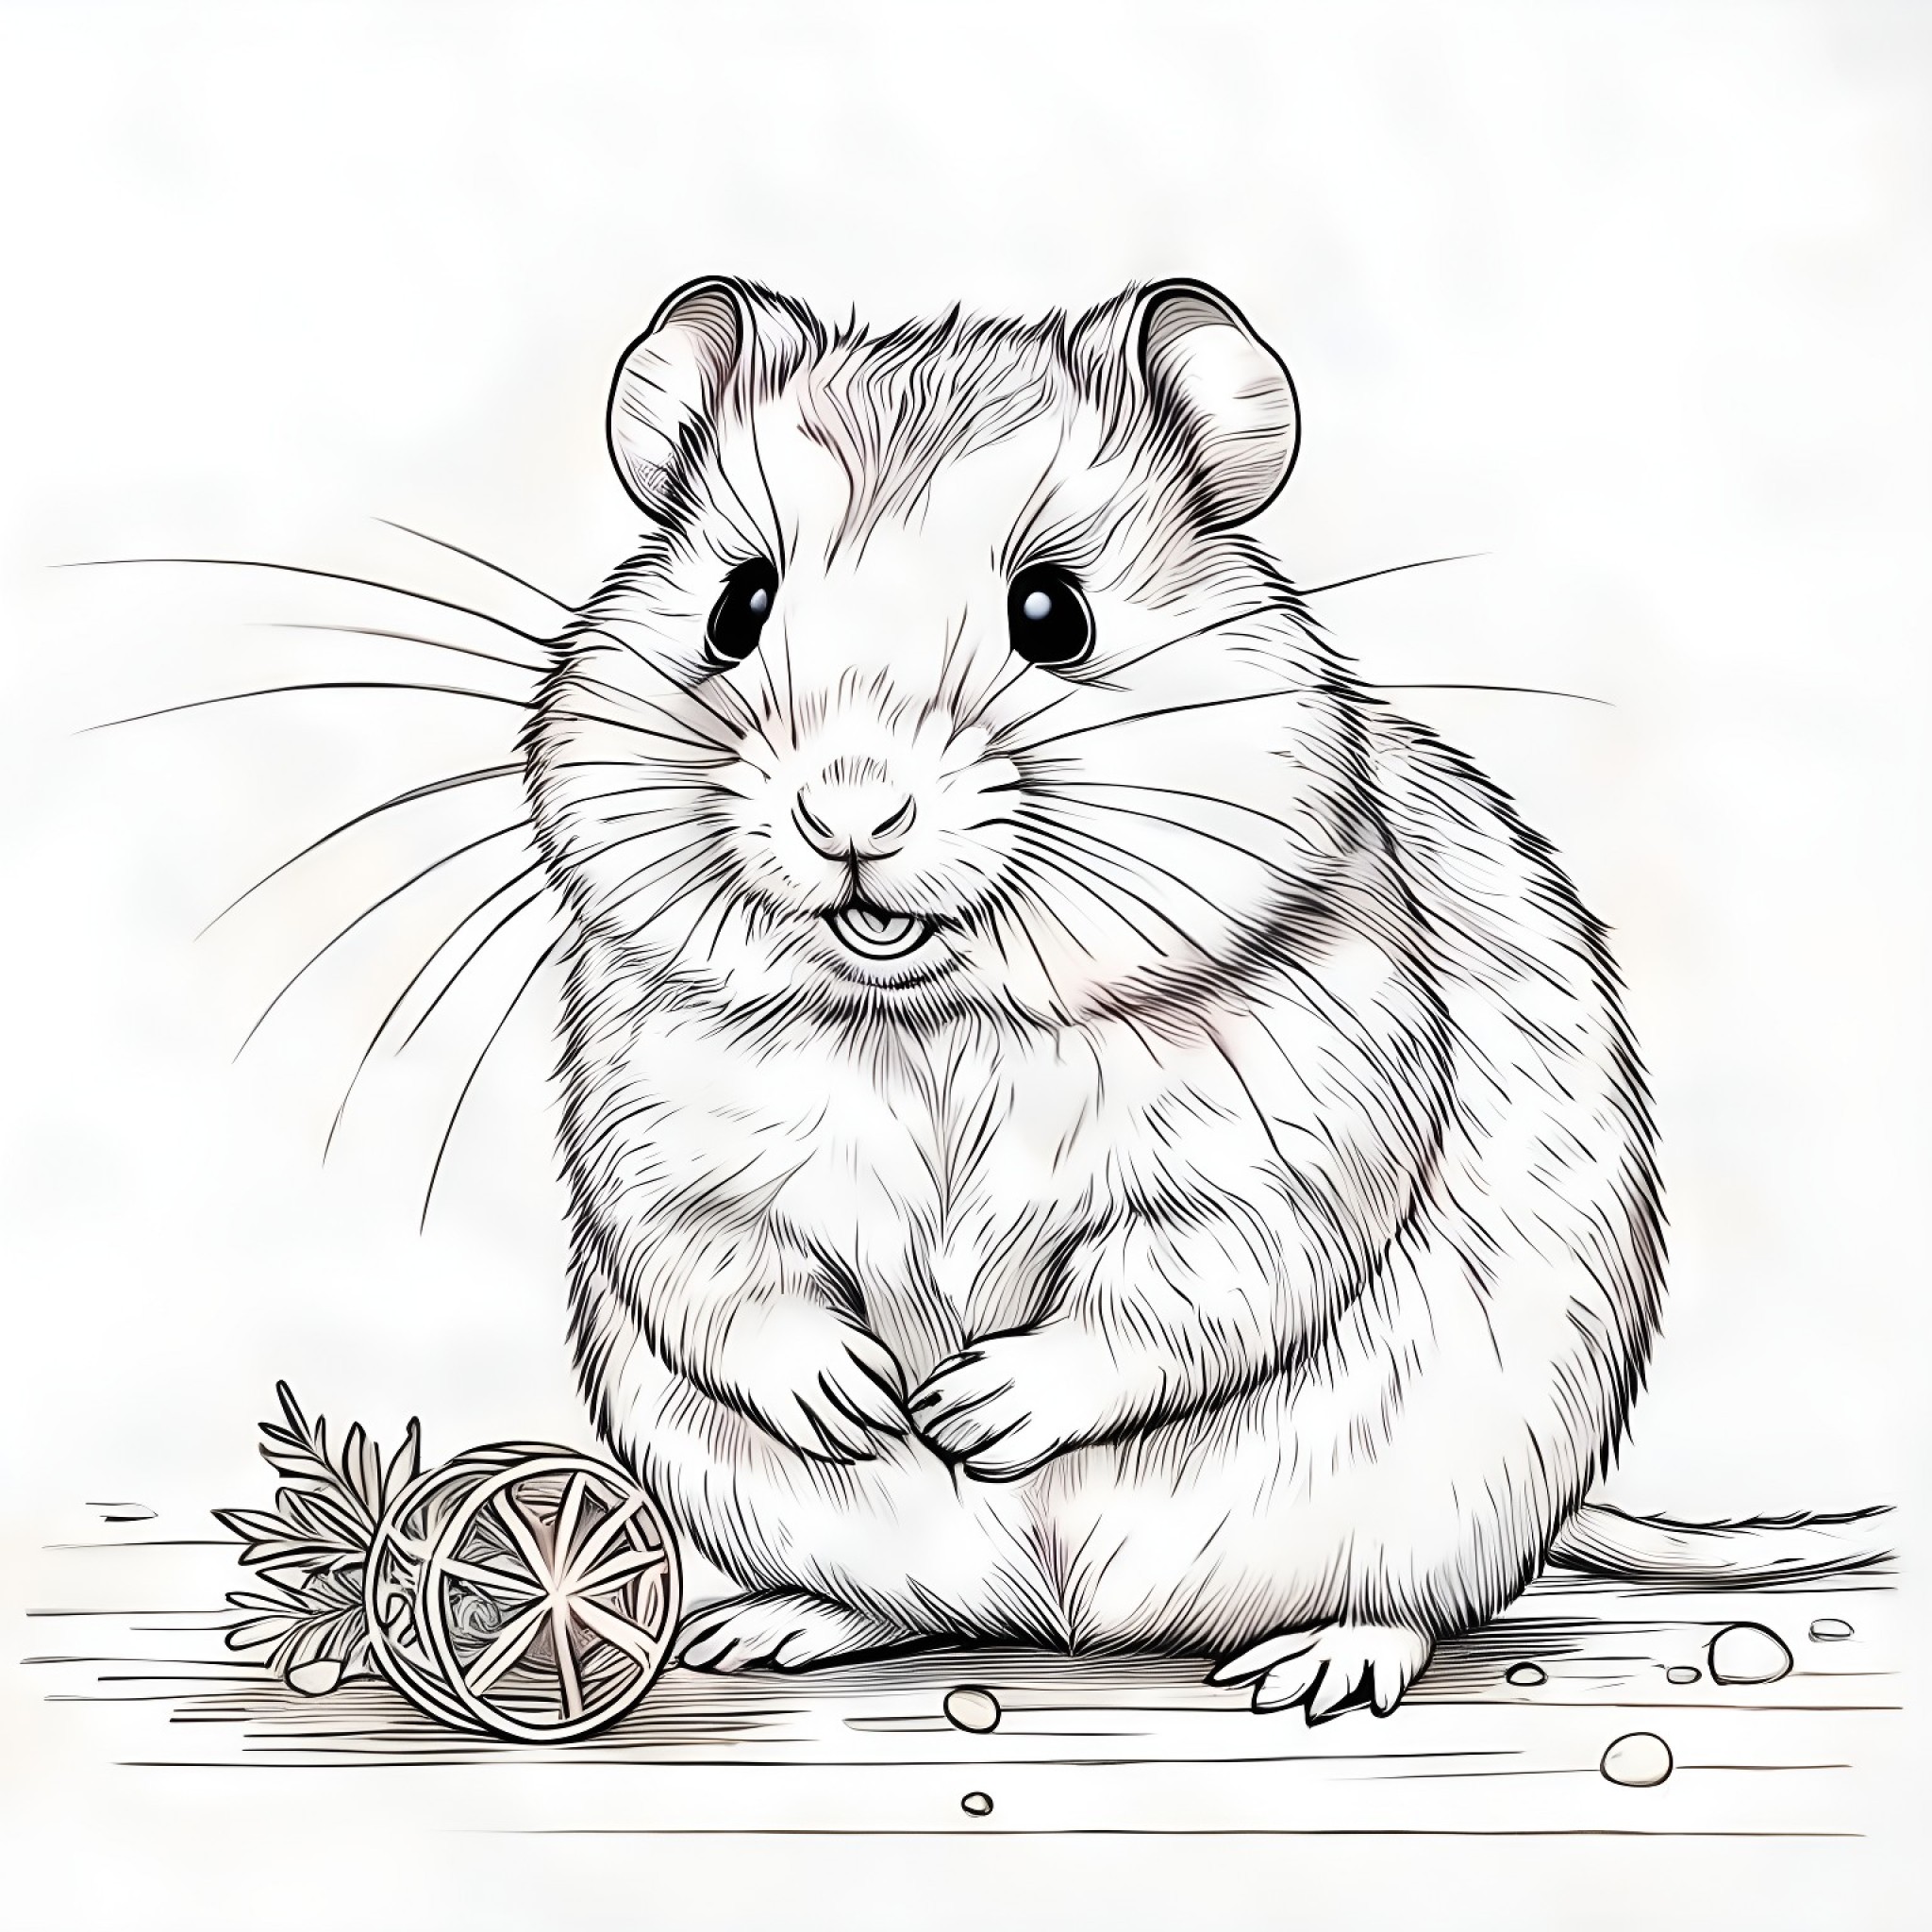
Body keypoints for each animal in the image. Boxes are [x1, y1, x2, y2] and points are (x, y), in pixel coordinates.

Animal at [524, 276, 1874, 1721]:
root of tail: (1073, 1624)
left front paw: (968, 1410)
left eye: (1054, 613)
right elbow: (722, 1270)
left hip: (1448, 1493)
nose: (849, 815)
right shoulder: (660, 1128)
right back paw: (769, 1625)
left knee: (1414, 1603)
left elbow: (1176, 1288)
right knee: (898, 1601)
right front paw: (865, 1403)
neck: (936, 1018)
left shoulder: (1284, 1141)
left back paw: (1315, 1668)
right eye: (738, 605)